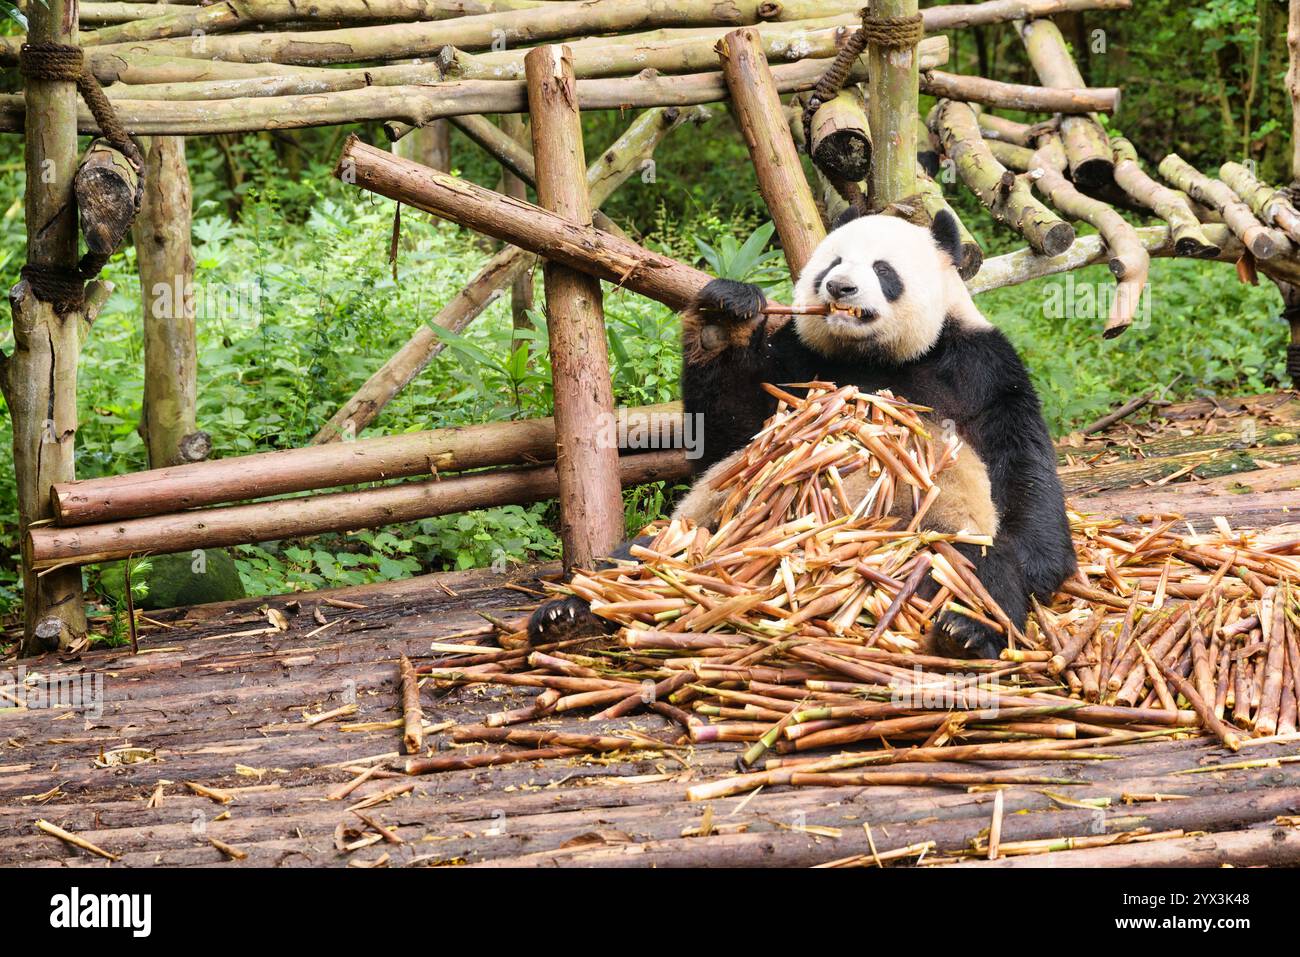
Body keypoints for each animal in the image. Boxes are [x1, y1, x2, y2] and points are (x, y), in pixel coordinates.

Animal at [529, 209, 1076, 660]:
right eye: (831, 262)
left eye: (883, 270)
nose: (839, 288)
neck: (874, 357)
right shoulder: (798, 360)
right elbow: (728, 439)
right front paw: (721, 317)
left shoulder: (979, 366)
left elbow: (1020, 466)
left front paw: (1035, 565)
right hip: (702, 530)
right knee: (638, 555)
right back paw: (567, 614)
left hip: (925, 538)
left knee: (971, 572)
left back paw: (964, 630)